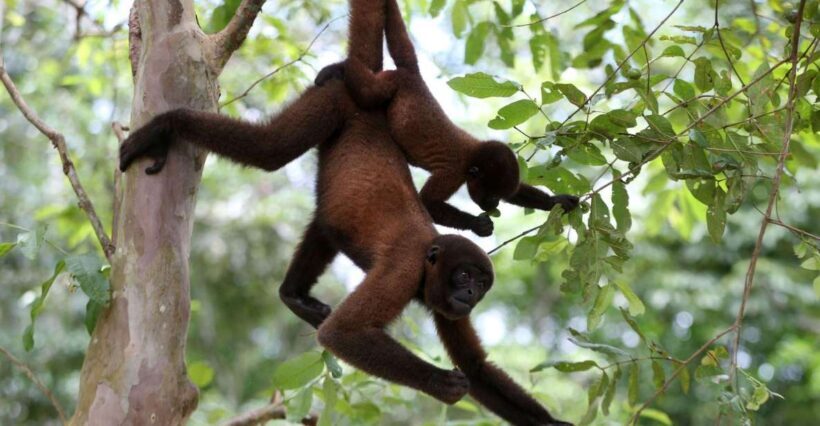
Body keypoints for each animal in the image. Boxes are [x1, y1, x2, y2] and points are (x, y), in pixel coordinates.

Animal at [314, 0, 580, 238]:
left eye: (499, 197)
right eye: (492, 196)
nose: (494, 205)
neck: (472, 156)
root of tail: (414, 77)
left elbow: (517, 192)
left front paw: (557, 200)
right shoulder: (453, 172)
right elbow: (428, 202)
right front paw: (477, 225)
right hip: (391, 82)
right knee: (367, 91)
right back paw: (340, 68)